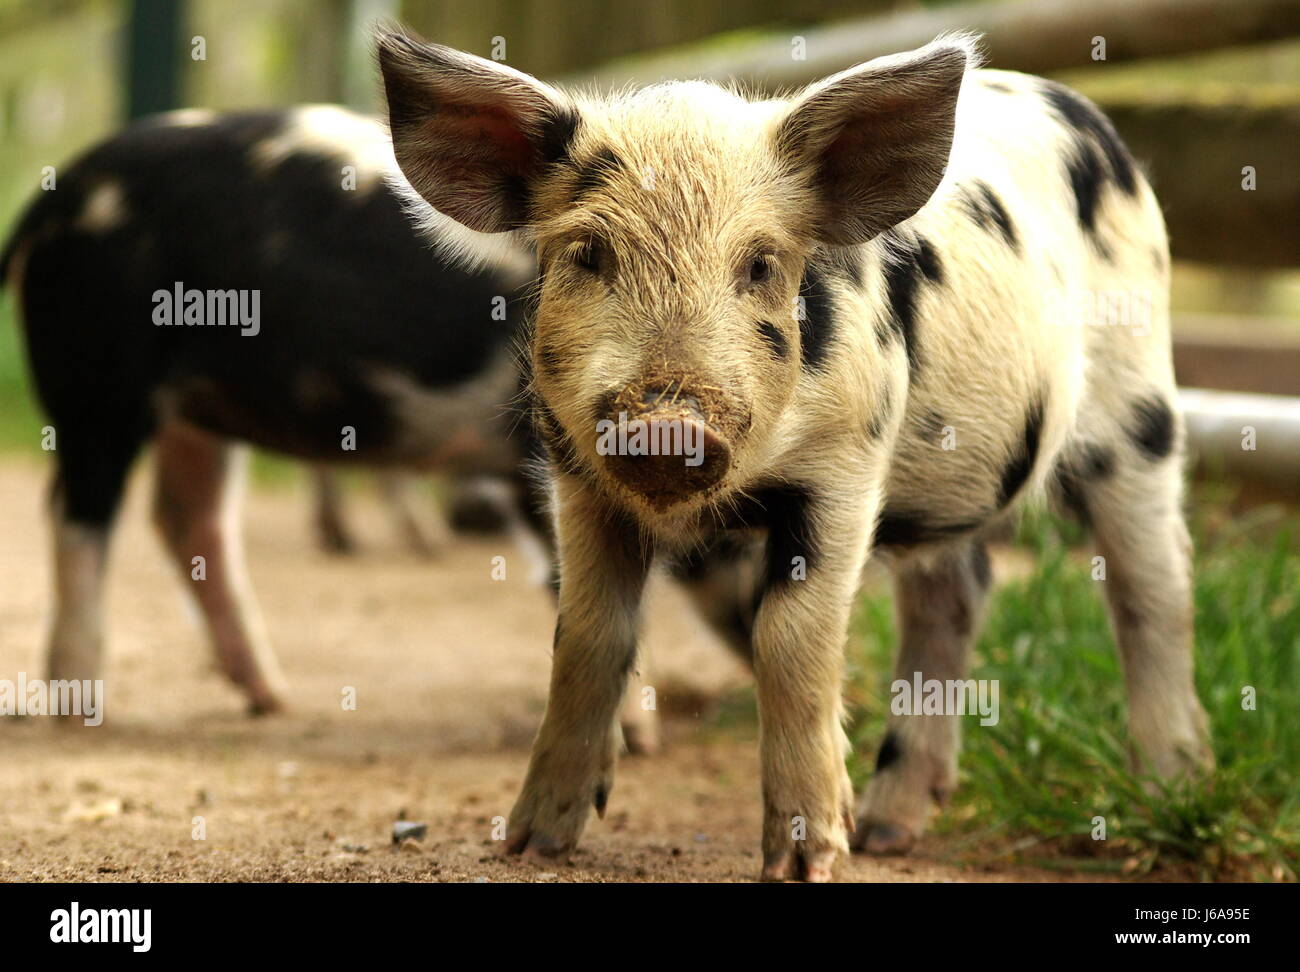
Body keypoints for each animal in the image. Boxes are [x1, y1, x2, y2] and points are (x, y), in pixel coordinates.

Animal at [378, 28, 1214, 881]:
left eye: (761, 264)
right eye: (587, 253)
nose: (669, 426)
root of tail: (1085, 116)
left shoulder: (846, 464)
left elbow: (789, 638)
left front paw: (808, 860)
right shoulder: (577, 476)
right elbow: (585, 631)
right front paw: (532, 843)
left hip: (1139, 406)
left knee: (1156, 584)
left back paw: (1170, 789)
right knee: (957, 591)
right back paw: (889, 830)